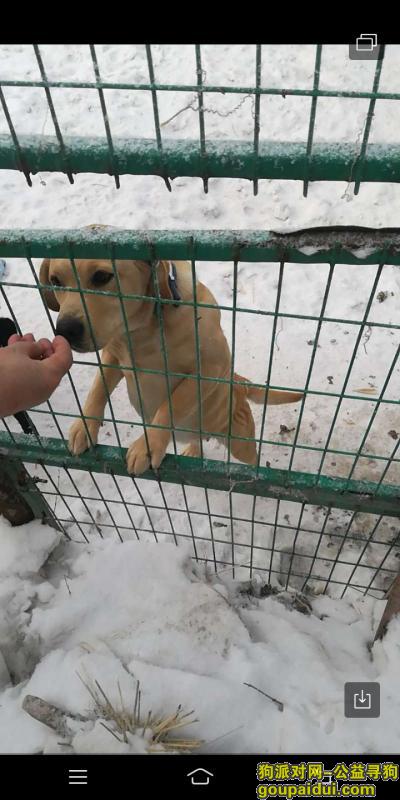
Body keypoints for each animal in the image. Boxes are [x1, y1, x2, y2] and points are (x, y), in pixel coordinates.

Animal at [40, 228, 302, 472]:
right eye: (55, 281)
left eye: (102, 276)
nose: (65, 330)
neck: (141, 329)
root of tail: (237, 383)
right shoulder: (112, 356)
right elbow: (98, 387)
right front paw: (85, 426)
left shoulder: (210, 369)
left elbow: (173, 402)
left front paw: (148, 445)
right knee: (198, 440)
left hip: (240, 440)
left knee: (252, 458)